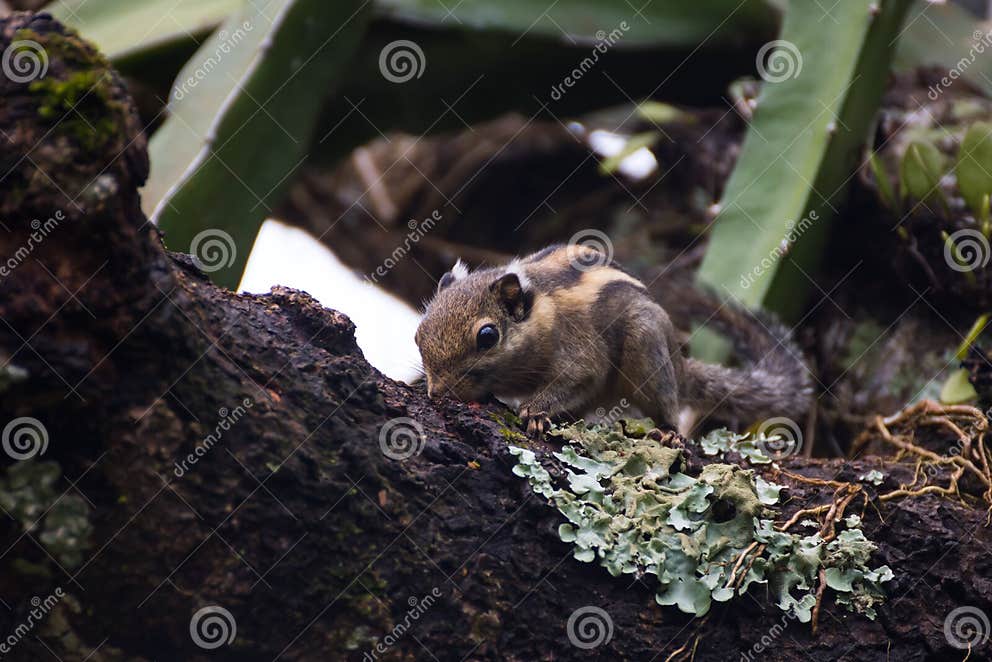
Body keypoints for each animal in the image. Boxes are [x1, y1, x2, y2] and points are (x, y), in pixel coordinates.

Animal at [414, 244, 812, 437]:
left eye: (487, 336)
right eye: (418, 336)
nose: (437, 392)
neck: (543, 310)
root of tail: (681, 365)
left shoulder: (578, 343)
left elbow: (579, 376)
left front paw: (535, 411)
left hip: (647, 348)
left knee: (666, 404)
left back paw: (671, 433)